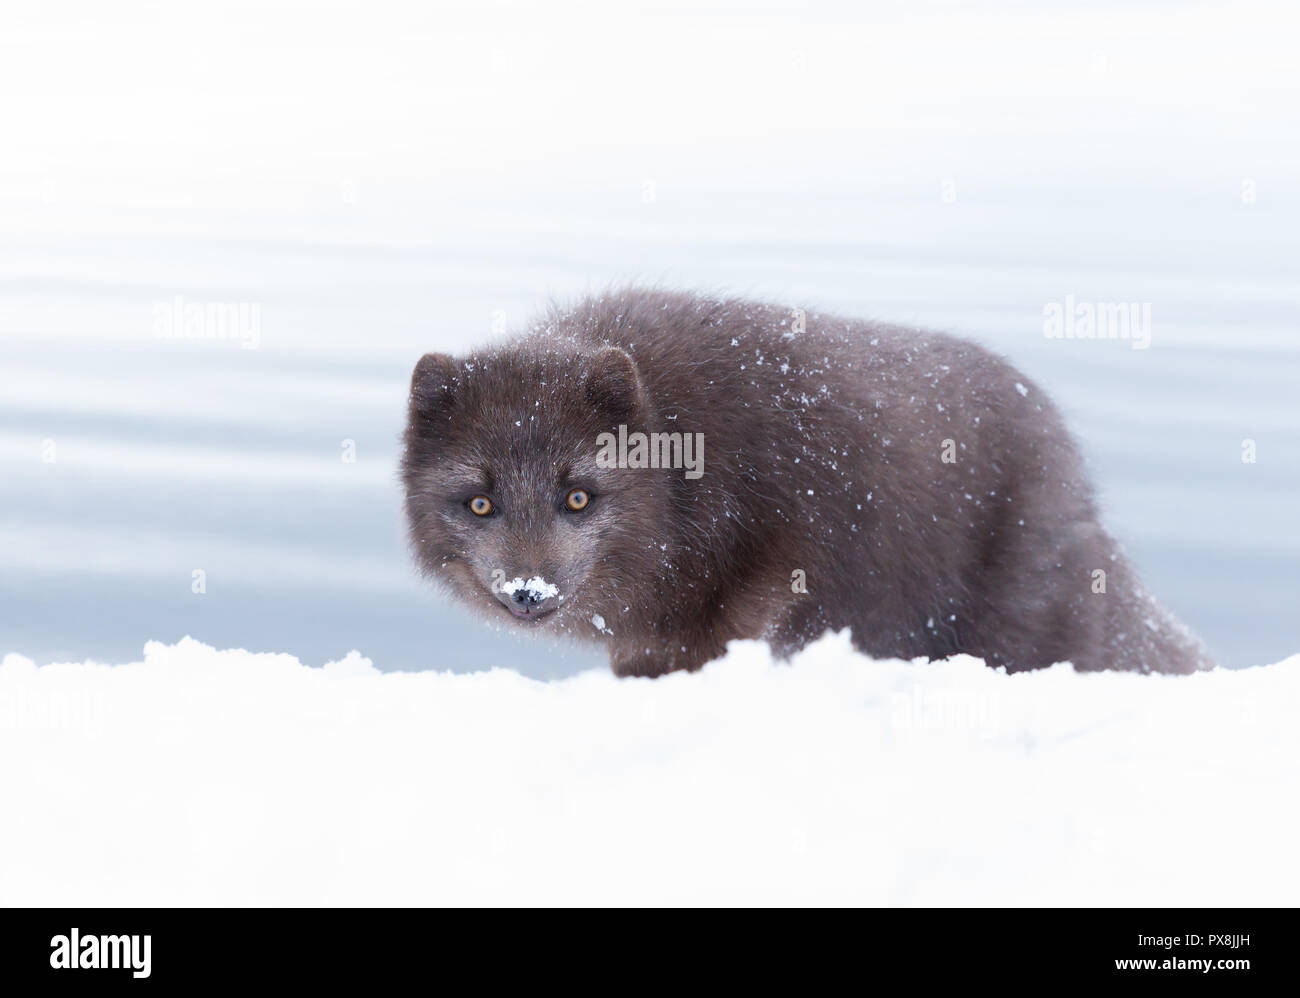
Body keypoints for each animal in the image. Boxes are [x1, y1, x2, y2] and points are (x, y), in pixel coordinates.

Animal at [401, 287, 1215, 677]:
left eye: (577, 496)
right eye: (480, 501)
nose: (526, 591)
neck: (688, 464)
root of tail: (1082, 494)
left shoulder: (773, 564)